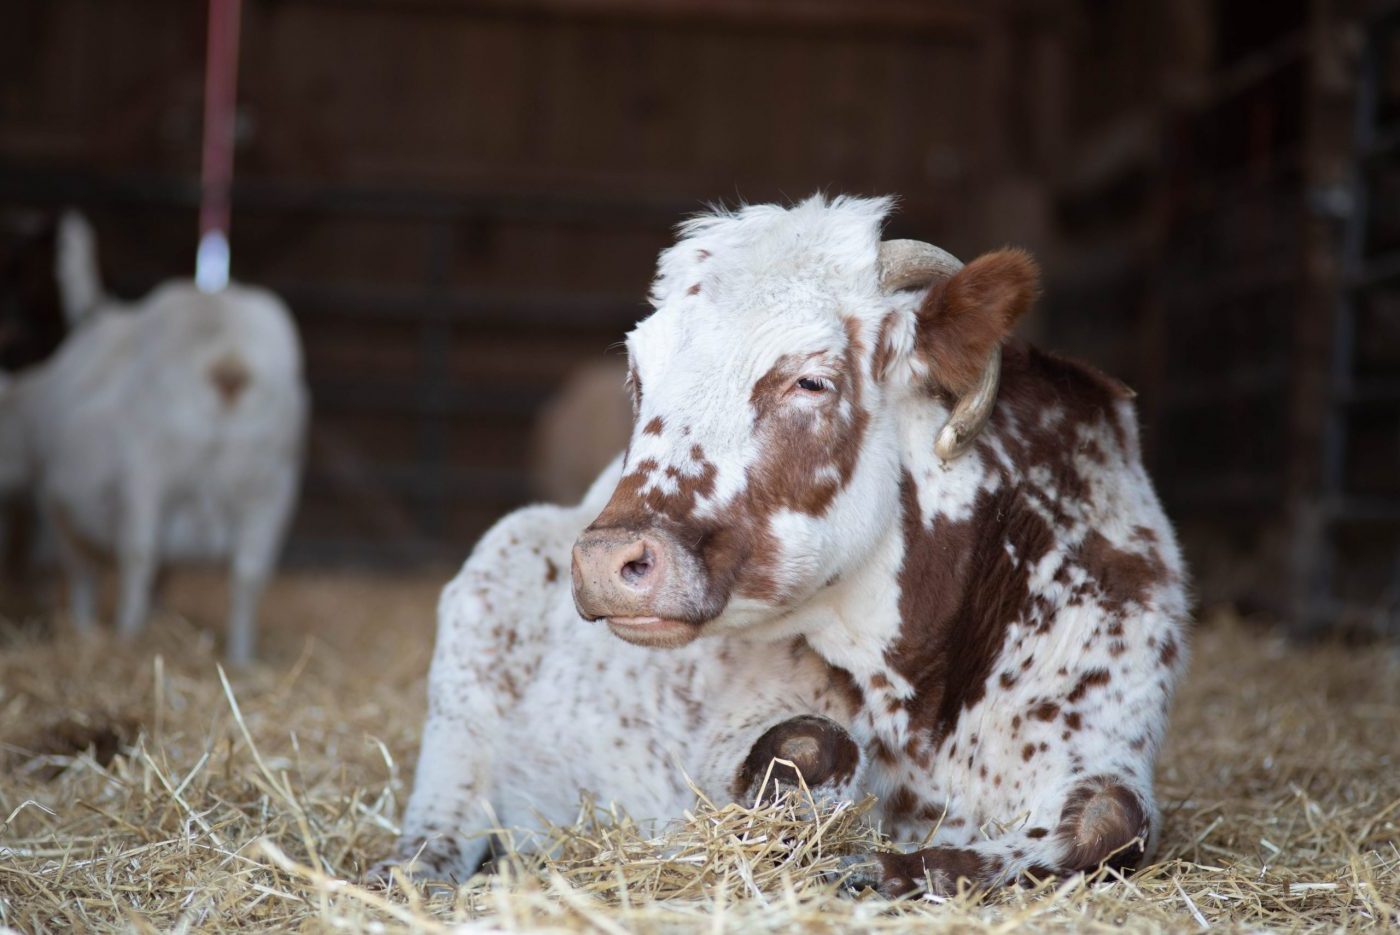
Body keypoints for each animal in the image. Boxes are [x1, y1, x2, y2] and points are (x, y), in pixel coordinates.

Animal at [374, 195, 1188, 897]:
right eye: (638, 377)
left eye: (812, 381)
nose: (608, 561)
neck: (923, 694)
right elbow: (818, 744)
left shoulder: (1111, 725)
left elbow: (1111, 820)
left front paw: (890, 869)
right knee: (445, 809)